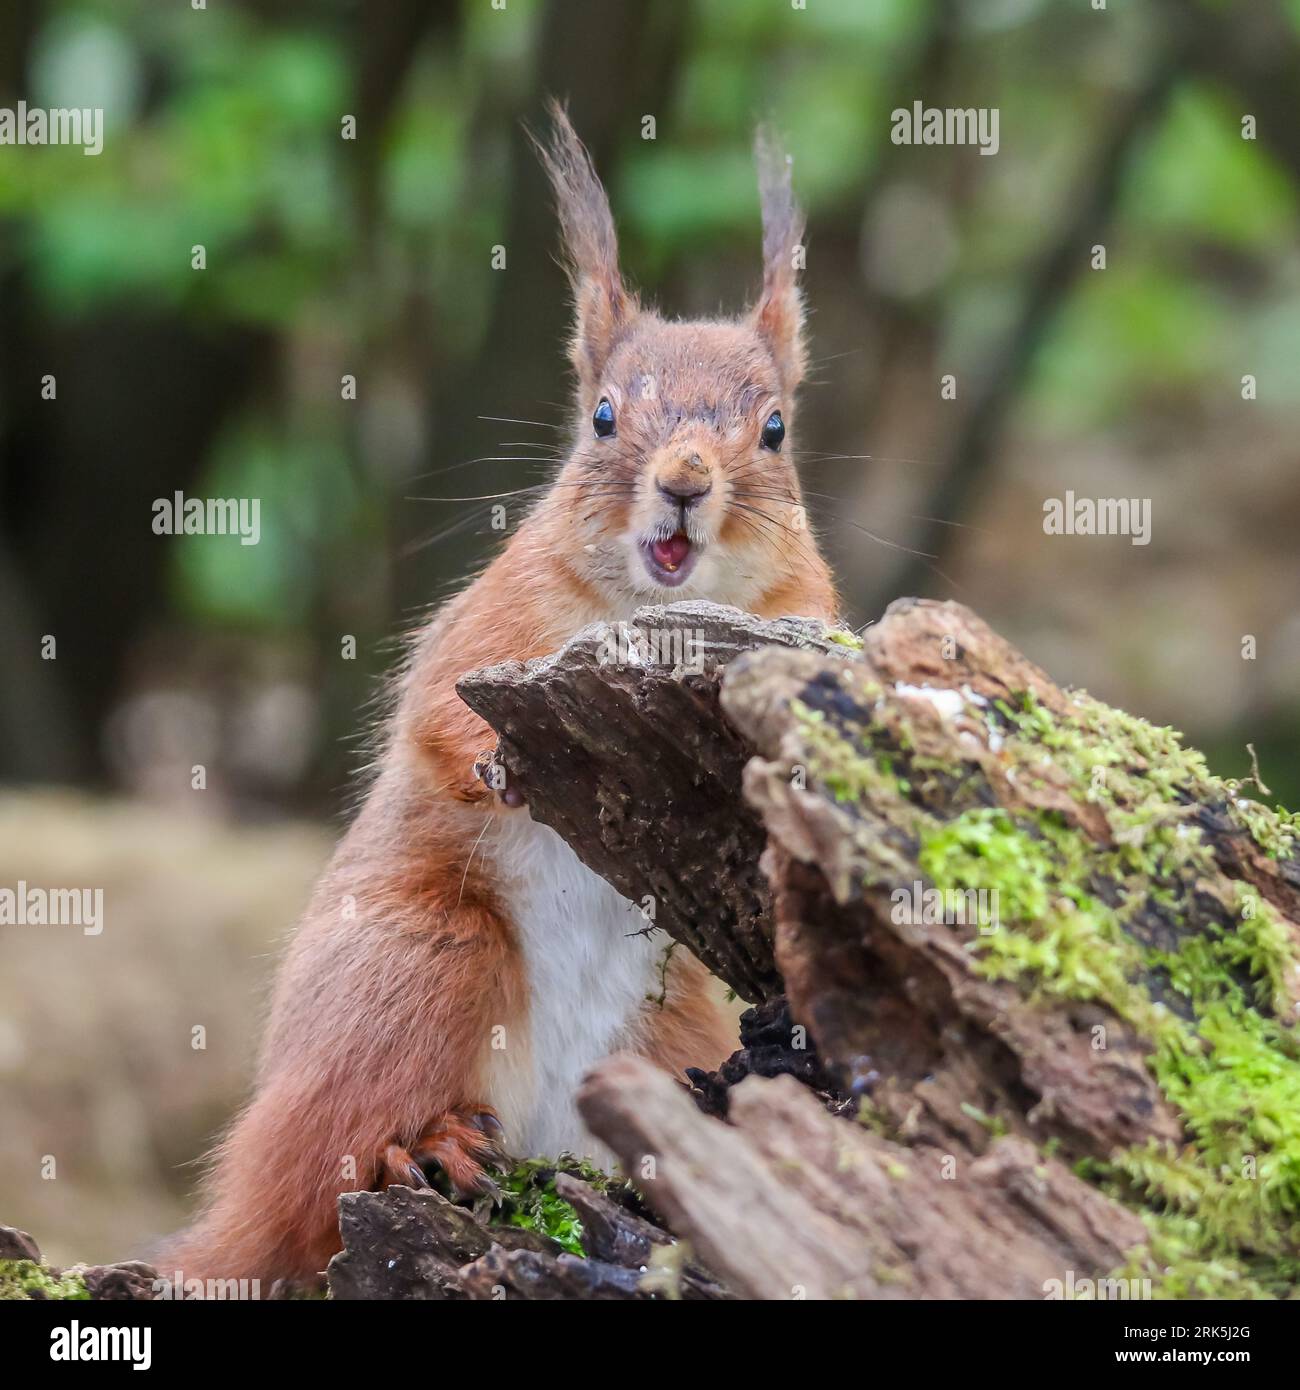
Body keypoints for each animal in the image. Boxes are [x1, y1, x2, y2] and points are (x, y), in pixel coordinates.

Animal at [163, 103, 838, 1286]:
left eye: (775, 429)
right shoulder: (480, 630)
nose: (684, 482)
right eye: (604, 416)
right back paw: (418, 1148)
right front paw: (491, 763)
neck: (660, 608)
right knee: (322, 1170)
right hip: (415, 966)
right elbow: (433, 721)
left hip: (673, 1033)